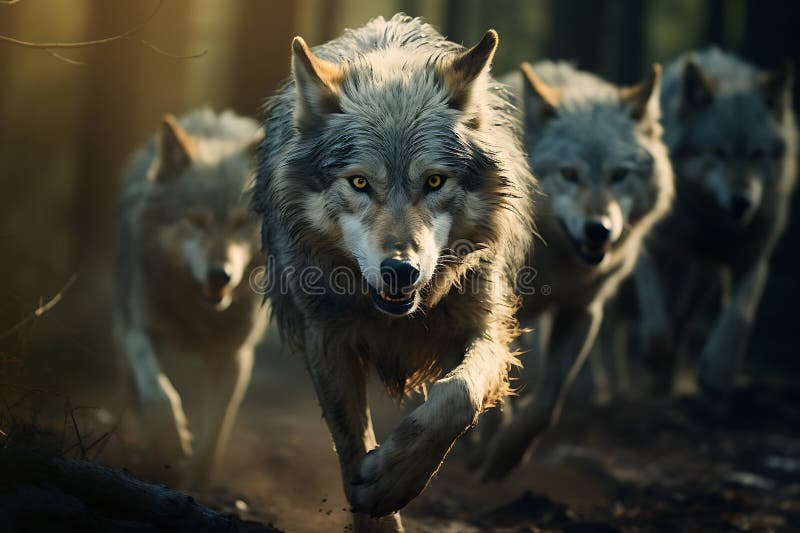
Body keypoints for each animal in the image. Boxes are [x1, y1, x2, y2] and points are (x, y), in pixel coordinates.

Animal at [115, 109, 267, 487]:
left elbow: (216, 430)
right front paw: (169, 439)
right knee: (128, 383)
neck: (198, 316)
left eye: (241, 222)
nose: (220, 274)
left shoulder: (235, 356)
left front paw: (195, 481)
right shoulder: (139, 328)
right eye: (197, 221)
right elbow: (156, 388)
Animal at [252, 14, 533, 532]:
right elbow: (350, 443)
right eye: (360, 182)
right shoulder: (327, 337)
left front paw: (394, 479)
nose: (400, 270)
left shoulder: (485, 326)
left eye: (435, 181)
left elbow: (456, 396)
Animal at [477, 61, 674, 480]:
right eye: (569, 174)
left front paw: (506, 455)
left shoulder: (582, 310)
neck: (552, 260)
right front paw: (484, 444)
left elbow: (548, 404)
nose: (598, 228)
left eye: (619, 175)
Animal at [636, 48, 796, 396]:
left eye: (757, 154)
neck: (711, 227)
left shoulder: (753, 259)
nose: (741, 202)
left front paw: (717, 373)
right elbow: (654, 312)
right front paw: (654, 351)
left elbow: (739, 316)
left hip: (703, 277)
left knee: (684, 320)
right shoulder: (648, 248)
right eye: (718, 153)